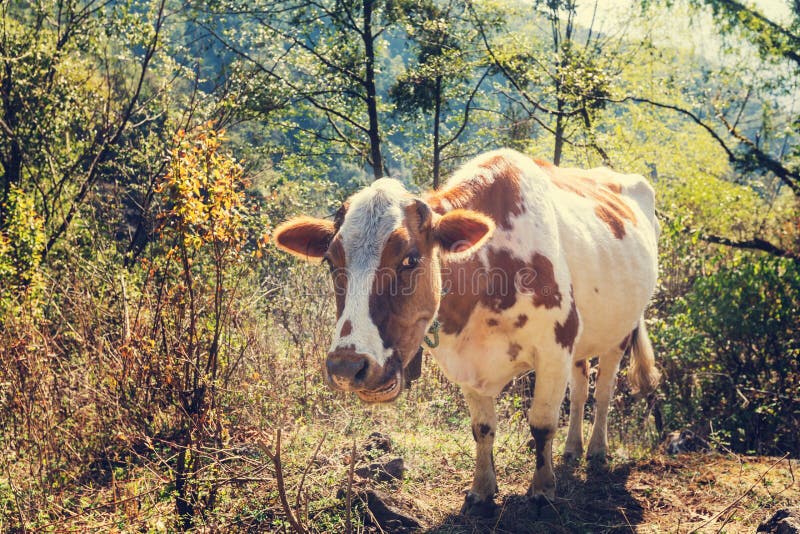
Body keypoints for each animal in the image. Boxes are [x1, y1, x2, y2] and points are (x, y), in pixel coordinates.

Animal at [273, 148, 660, 515]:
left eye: (410, 258)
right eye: (331, 261)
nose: (346, 366)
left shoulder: (555, 347)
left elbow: (542, 424)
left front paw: (541, 492)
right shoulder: (465, 362)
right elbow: (482, 429)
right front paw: (482, 492)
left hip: (621, 330)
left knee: (603, 391)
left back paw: (595, 451)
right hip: (584, 336)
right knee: (581, 388)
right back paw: (572, 449)